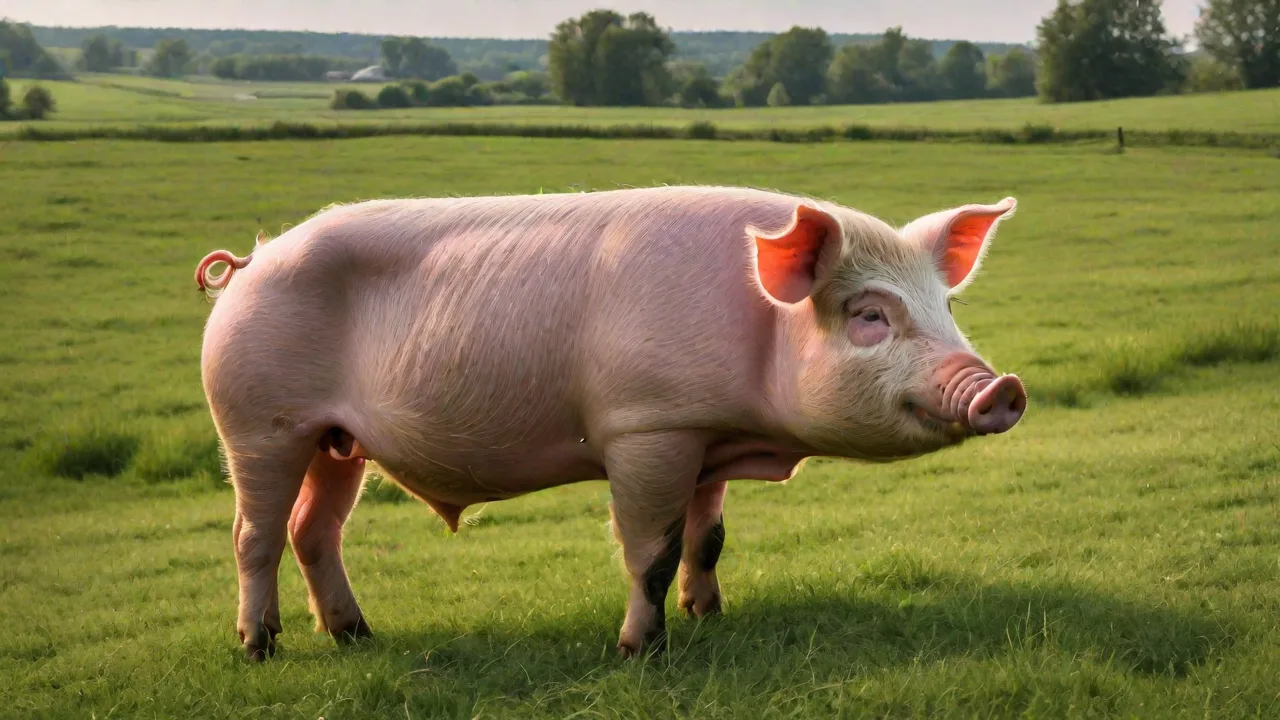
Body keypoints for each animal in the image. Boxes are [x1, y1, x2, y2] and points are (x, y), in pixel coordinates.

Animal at [195, 185, 1026, 661]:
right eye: (869, 315)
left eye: (946, 307)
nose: (1002, 386)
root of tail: (247, 265)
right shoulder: (646, 426)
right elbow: (650, 549)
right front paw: (640, 651)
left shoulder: (703, 434)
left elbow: (708, 538)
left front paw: (708, 616)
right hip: (259, 423)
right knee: (254, 534)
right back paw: (259, 649)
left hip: (337, 442)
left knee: (313, 530)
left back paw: (356, 636)